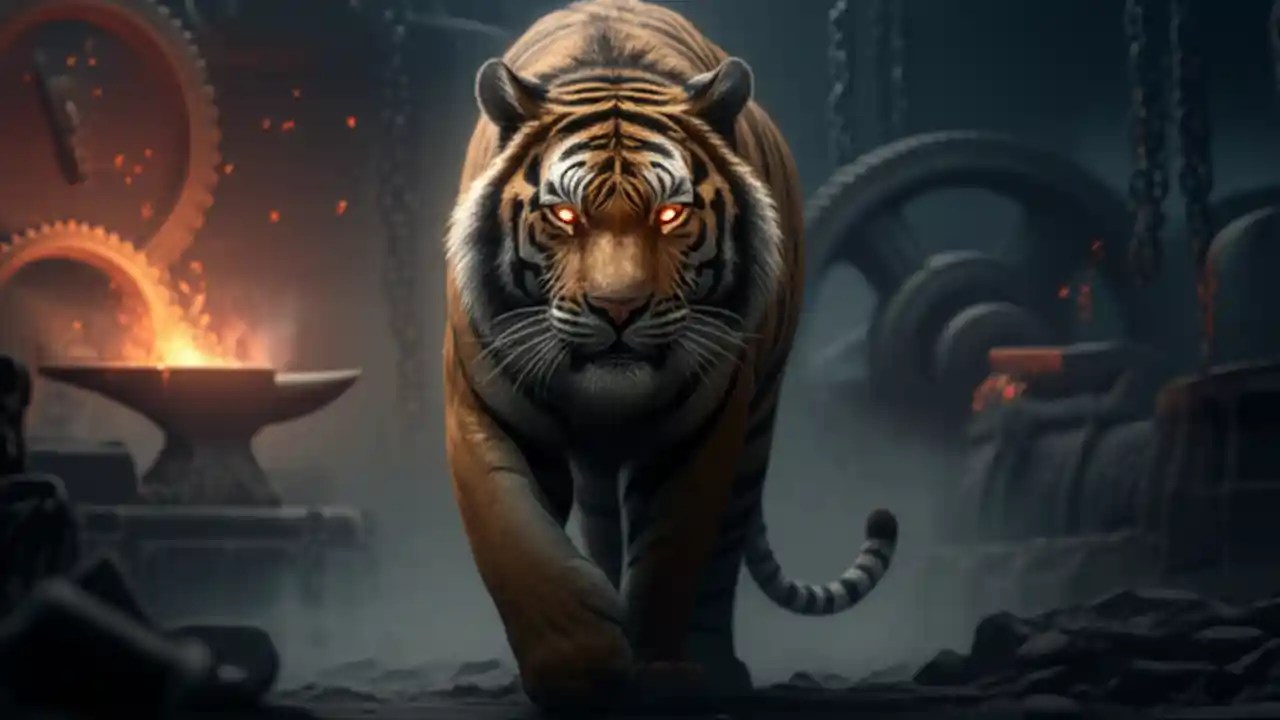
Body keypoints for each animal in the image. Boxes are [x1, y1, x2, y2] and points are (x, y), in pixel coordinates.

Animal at [441, 0, 899, 709]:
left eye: (670, 215)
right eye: (565, 216)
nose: (618, 309)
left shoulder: (705, 426)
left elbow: (670, 553)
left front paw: (660, 671)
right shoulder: (481, 408)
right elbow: (515, 539)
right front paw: (578, 665)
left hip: (756, 420)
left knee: (721, 551)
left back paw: (716, 663)